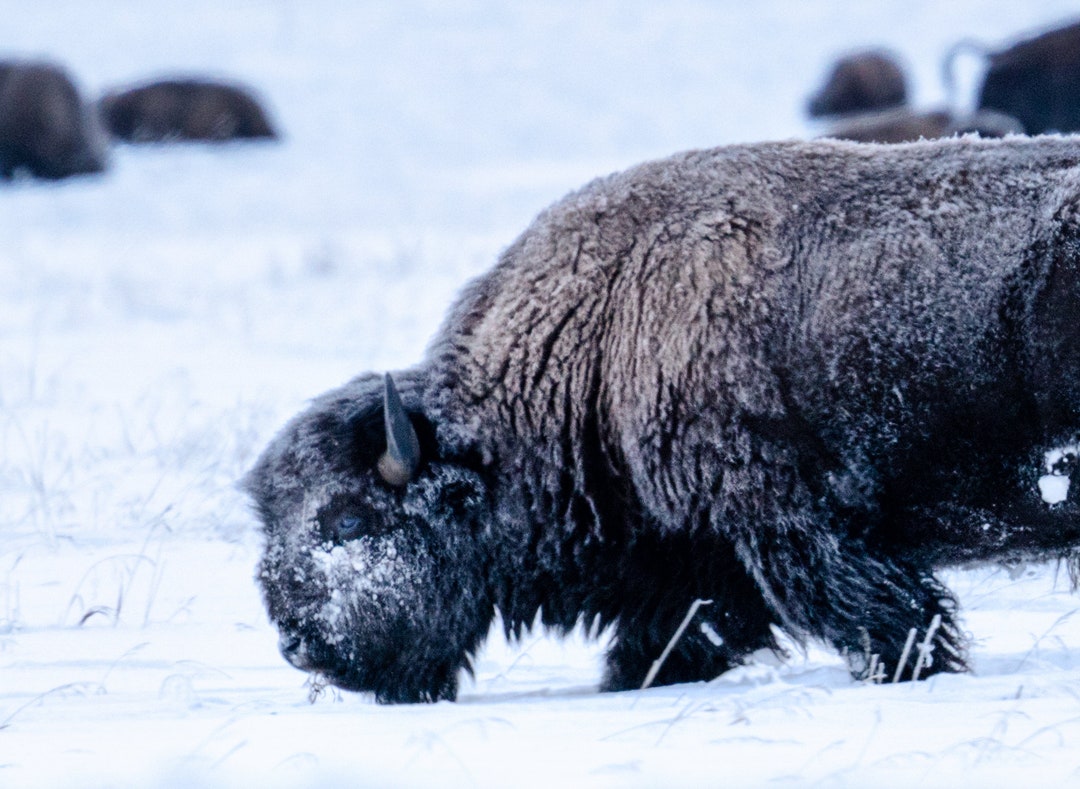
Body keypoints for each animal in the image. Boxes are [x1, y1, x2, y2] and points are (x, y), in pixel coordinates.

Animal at [247, 136, 1080, 703]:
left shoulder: (794, 528)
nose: (297, 643)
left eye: (348, 520)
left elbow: (887, 617)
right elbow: (668, 647)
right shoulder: (699, 562)